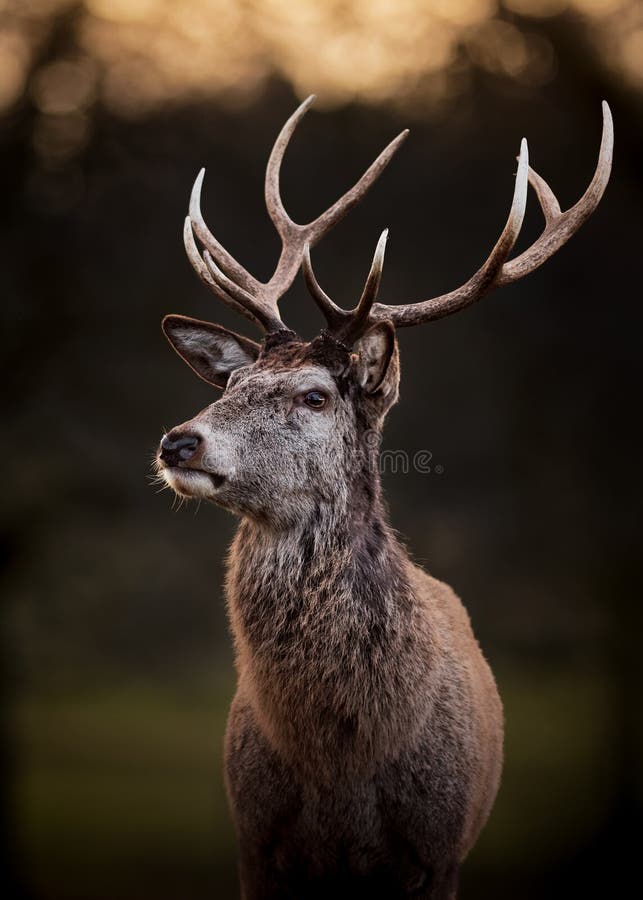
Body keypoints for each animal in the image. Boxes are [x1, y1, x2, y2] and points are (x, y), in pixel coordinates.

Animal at [155, 97, 613, 899]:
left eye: (314, 395)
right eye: (232, 383)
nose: (178, 442)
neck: (344, 764)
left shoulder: (436, 847)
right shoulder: (254, 843)